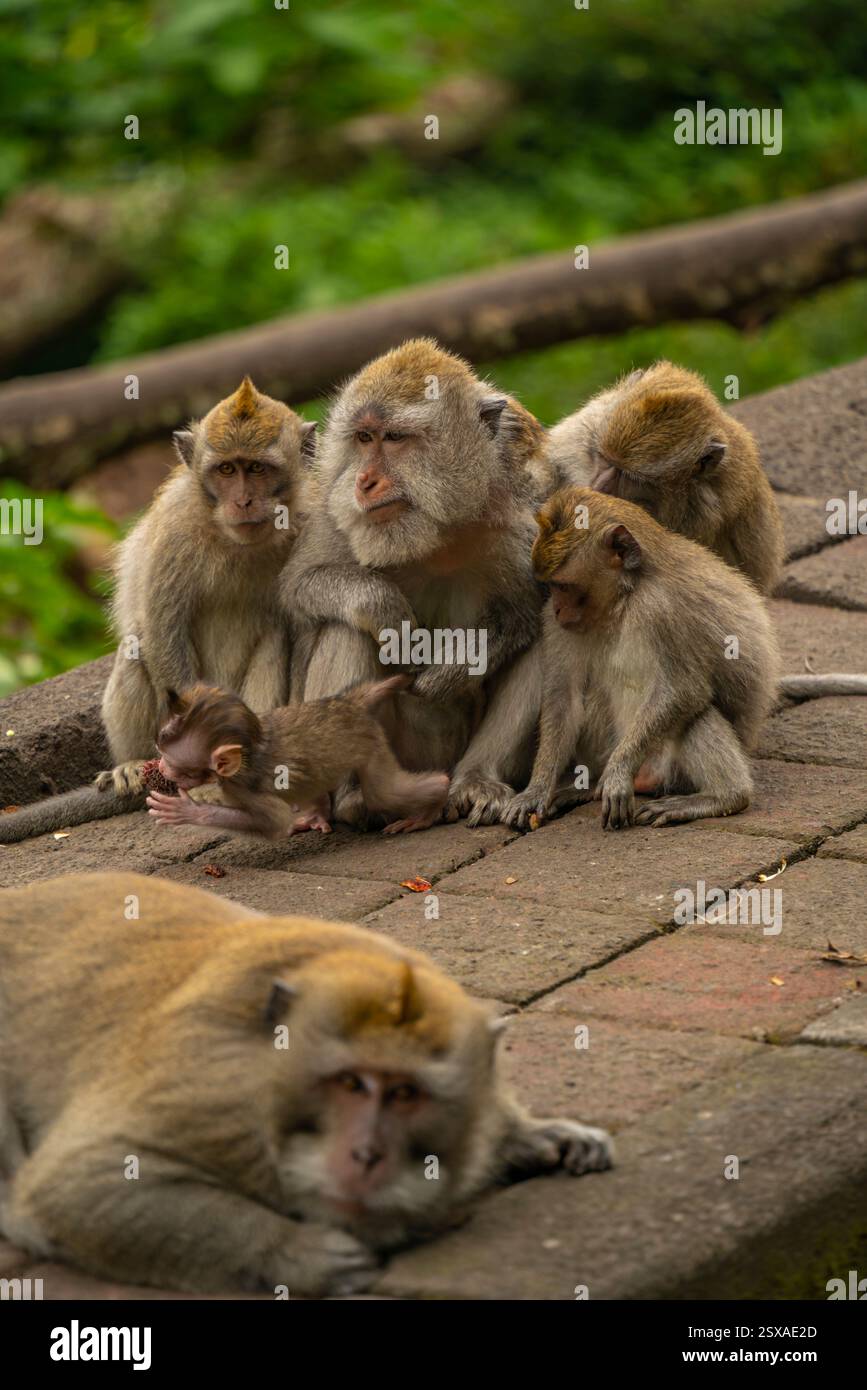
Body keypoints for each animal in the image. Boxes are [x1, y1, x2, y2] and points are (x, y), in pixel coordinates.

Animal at [0, 872, 613, 1296]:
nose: (365, 1155)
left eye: (405, 1093)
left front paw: (532, 1134)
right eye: (350, 1084)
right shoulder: (212, 1094)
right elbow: (82, 1181)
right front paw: (297, 1254)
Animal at [97, 375, 316, 799]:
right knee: (136, 643)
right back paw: (132, 764)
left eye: (258, 468)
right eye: (226, 469)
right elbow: (163, 631)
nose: (244, 501)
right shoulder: (175, 531)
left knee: (275, 637)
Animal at [146, 677, 449, 837]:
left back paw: (434, 800)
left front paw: (189, 811)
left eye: (173, 763)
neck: (250, 748)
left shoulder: (240, 787)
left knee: (382, 795)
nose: (161, 766)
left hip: (371, 743)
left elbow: (275, 821)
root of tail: (349, 703)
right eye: (161, 753)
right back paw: (317, 812)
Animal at [281, 338, 544, 826]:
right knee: (345, 629)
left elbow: (528, 612)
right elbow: (300, 583)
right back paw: (350, 800)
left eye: (395, 438)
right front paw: (383, 608)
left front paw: (457, 663)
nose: (365, 481)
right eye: (364, 438)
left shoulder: (529, 507)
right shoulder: (335, 505)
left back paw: (473, 781)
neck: (440, 528)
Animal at [502, 486, 780, 831]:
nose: (557, 608)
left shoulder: (661, 607)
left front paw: (619, 773)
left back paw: (723, 796)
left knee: (697, 715)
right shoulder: (559, 627)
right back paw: (588, 786)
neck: (625, 600)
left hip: (671, 770)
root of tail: (647, 778)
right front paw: (536, 790)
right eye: (552, 587)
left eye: (563, 586)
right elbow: (563, 699)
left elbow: (685, 689)